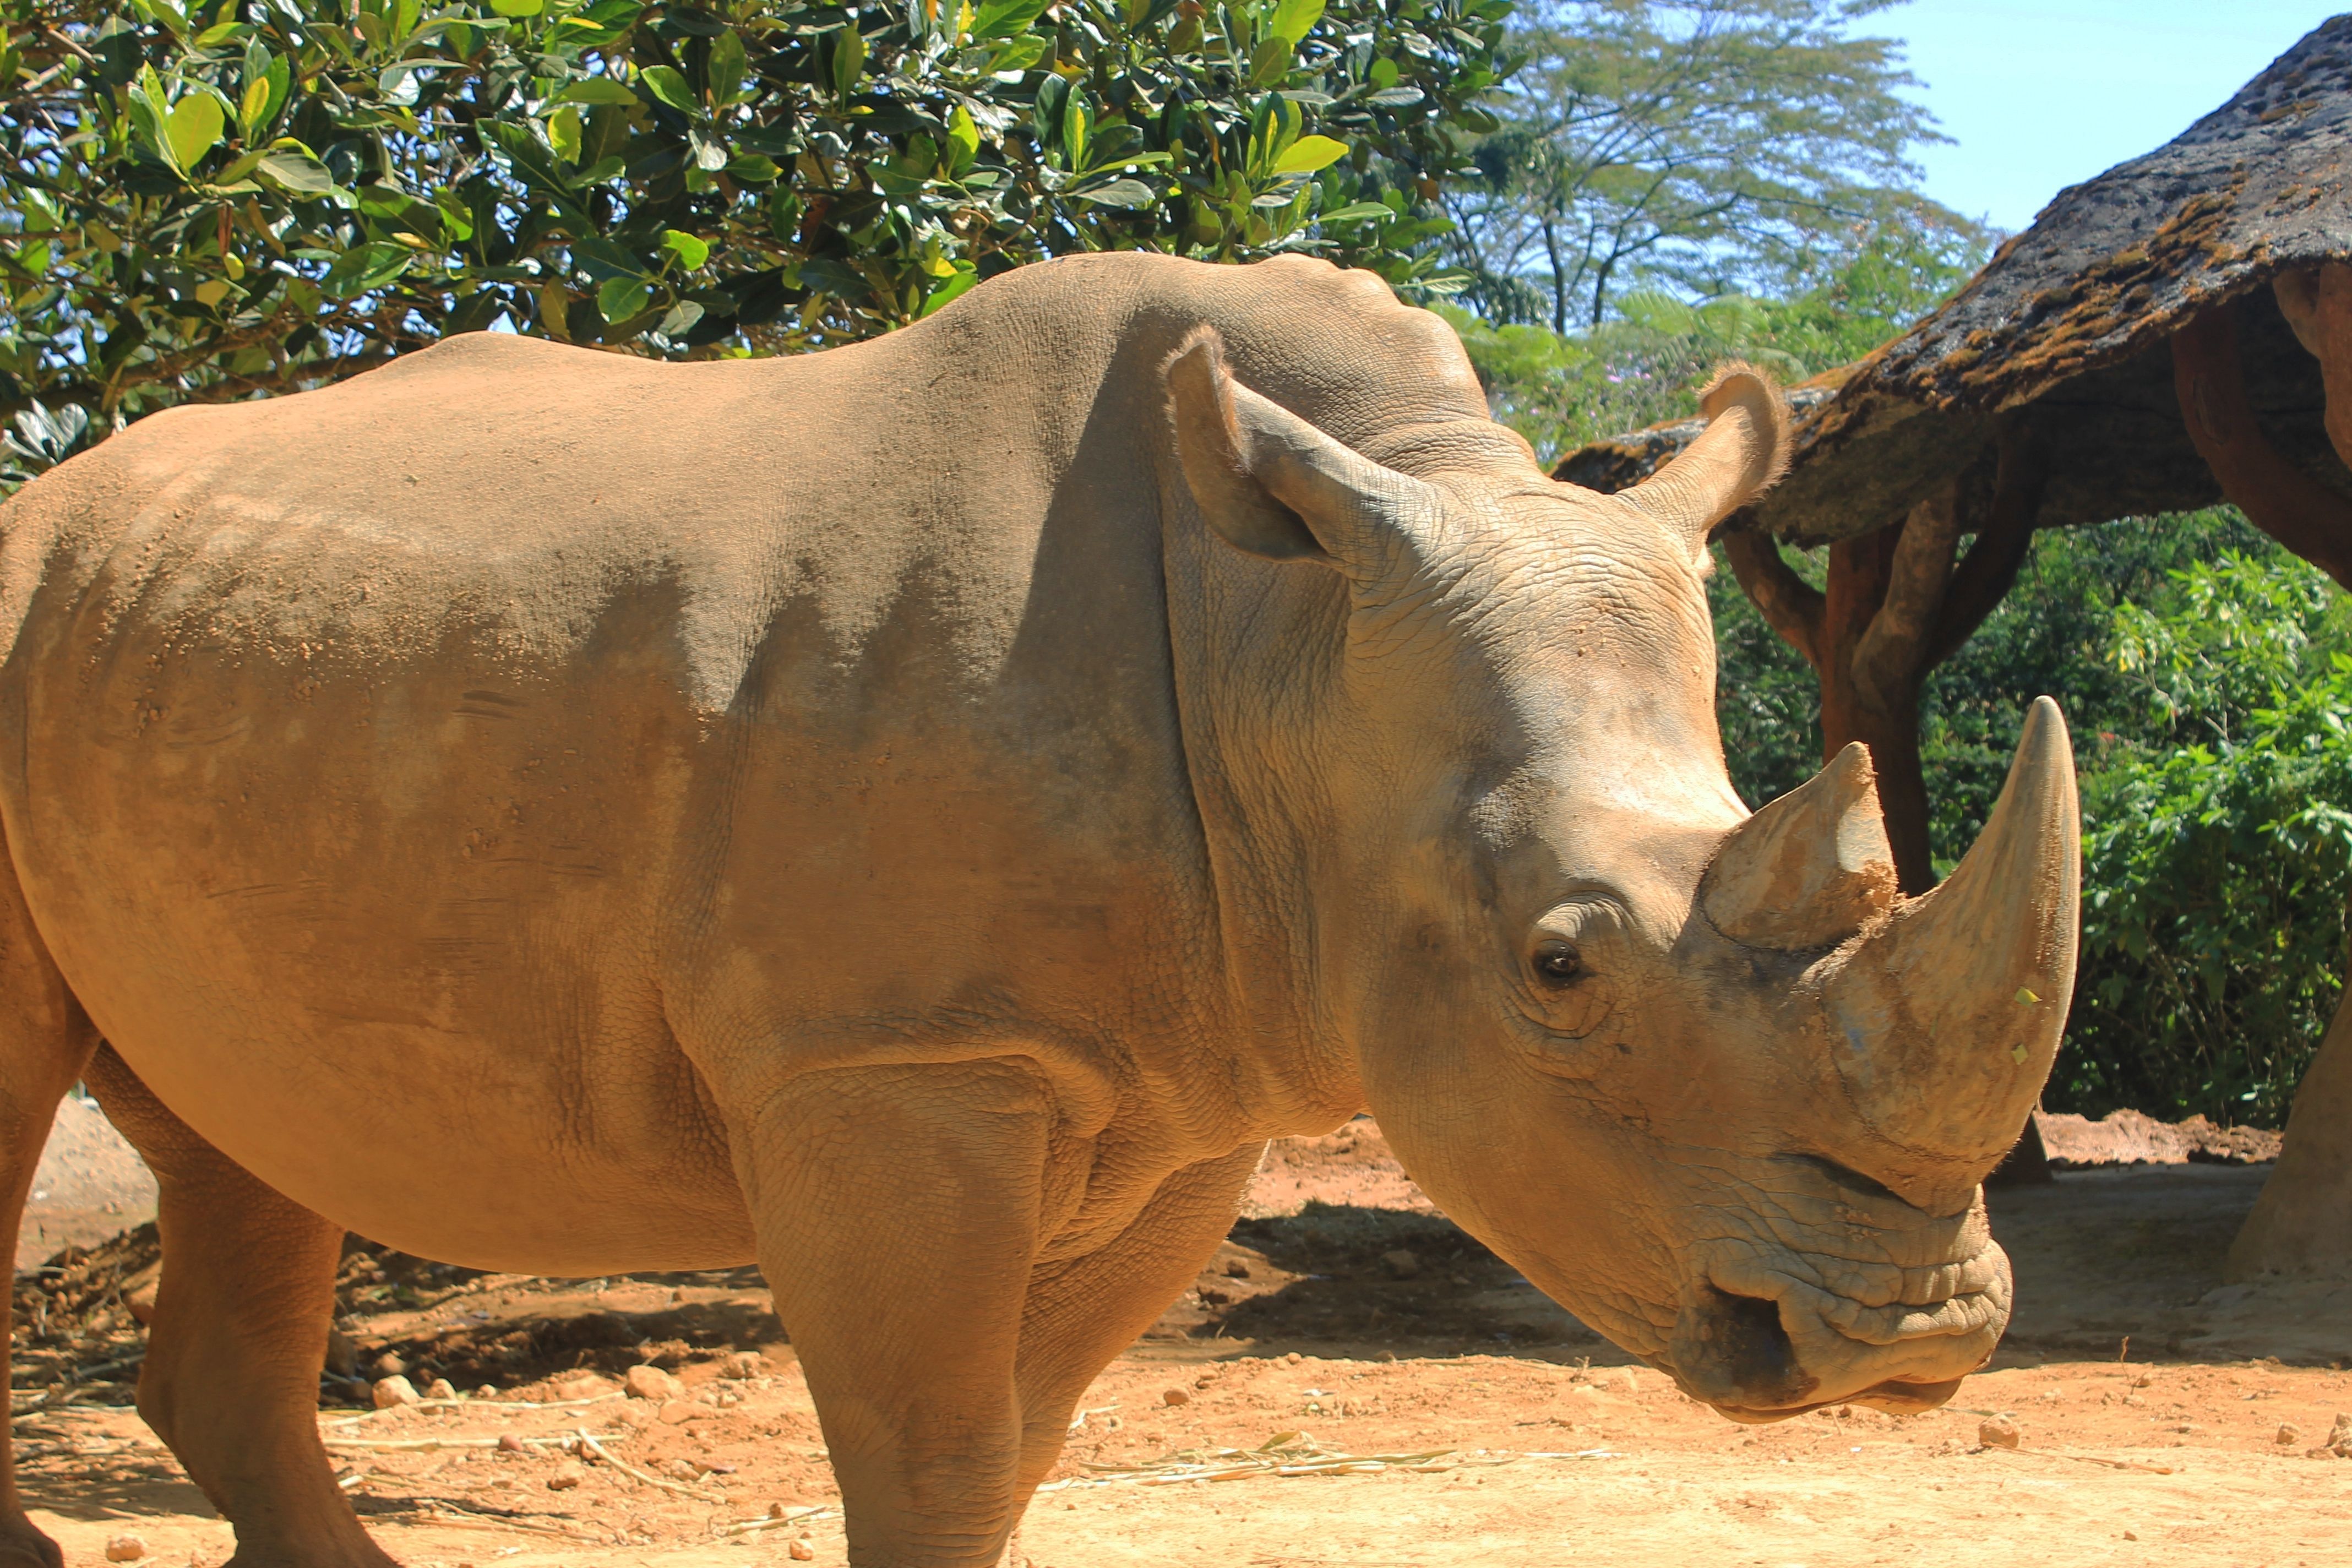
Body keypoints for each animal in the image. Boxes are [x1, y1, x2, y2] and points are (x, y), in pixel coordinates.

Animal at [0, 254, 2075, 1568]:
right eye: (1559, 964)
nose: (1913, 1333)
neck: (1286, 646)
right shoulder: (890, 1057)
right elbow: (927, 1451)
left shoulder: (1181, 1089)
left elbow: (1017, 1448)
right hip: (40, 603)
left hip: (195, 654)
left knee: (246, 1127)